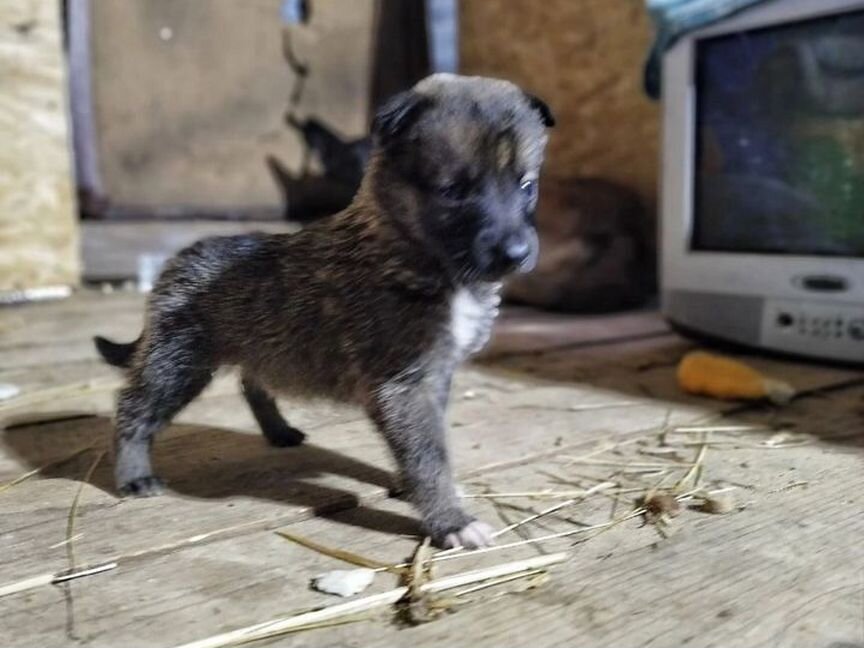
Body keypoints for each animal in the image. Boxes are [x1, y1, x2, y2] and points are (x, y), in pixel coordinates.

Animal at [93, 77, 552, 552]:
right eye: (453, 190)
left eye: (526, 186)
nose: (516, 254)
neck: (411, 251)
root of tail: (176, 262)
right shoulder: (404, 385)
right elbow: (428, 454)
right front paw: (451, 519)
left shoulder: (433, 376)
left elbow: (430, 443)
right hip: (179, 362)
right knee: (134, 406)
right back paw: (134, 474)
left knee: (253, 382)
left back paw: (278, 431)